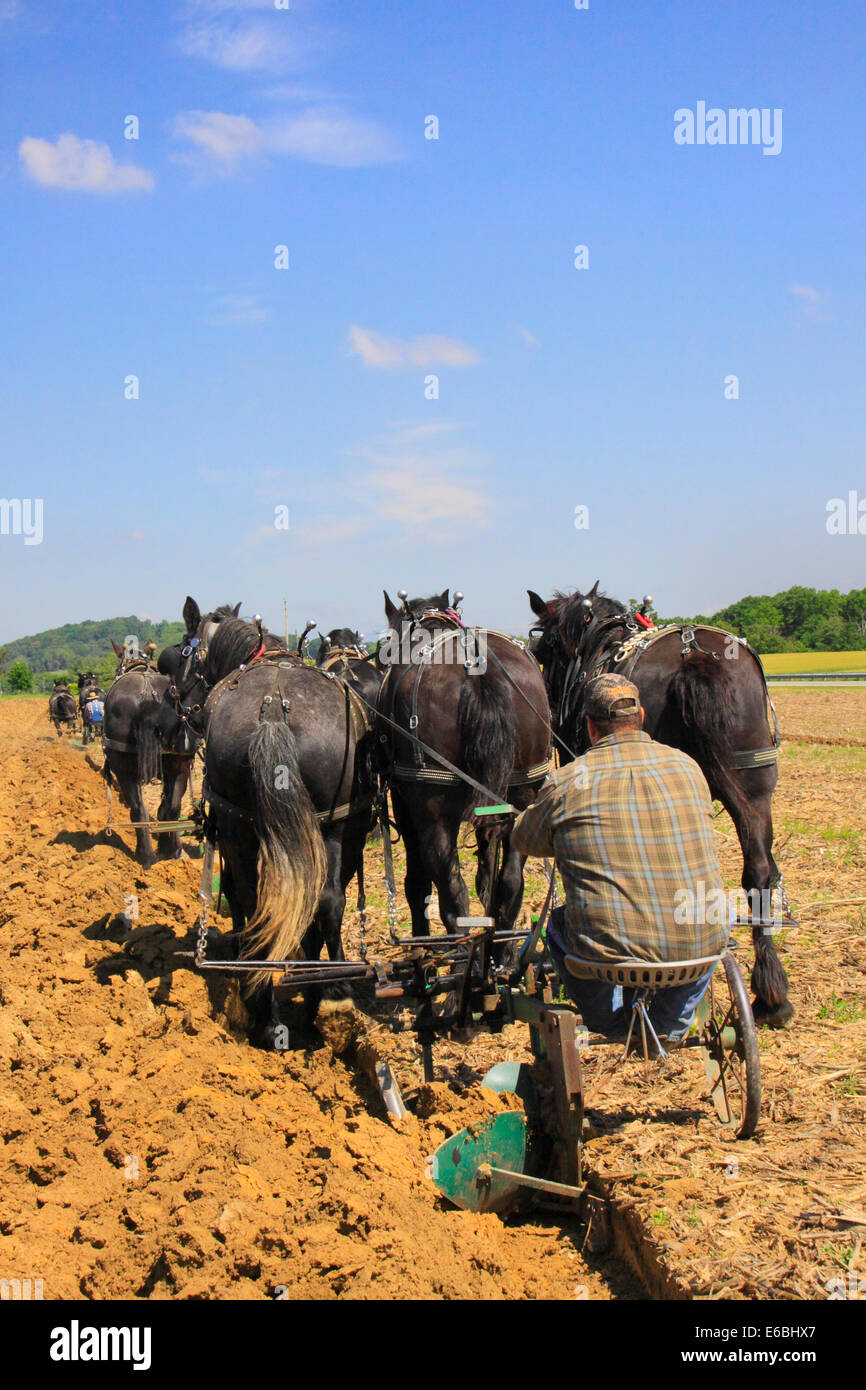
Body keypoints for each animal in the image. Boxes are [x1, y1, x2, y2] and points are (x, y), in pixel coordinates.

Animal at [100, 602, 239, 866]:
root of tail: (146, 692)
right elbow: (168, 805)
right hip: (179, 762)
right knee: (171, 807)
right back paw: (172, 851)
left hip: (123, 765)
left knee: (139, 809)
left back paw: (146, 857)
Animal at [171, 605, 380, 1045]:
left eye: (184, 652)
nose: (179, 703)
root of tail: (271, 711)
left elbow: (236, 897)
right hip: (336, 824)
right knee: (327, 900)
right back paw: (332, 997)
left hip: (239, 828)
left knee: (255, 901)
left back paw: (266, 1010)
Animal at [377, 589, 551, 939]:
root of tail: (478, 671)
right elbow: (488, 869)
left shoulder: (403, 803)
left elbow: (417, 884)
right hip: (524, 796)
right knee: (511, 883)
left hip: (432, 809)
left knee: (452, 893)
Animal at [526, 581, 791, 1026]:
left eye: (546, 649)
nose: (548, 702)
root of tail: (694, 654)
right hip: (757, 787)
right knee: (759, 872)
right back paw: (772, 993)